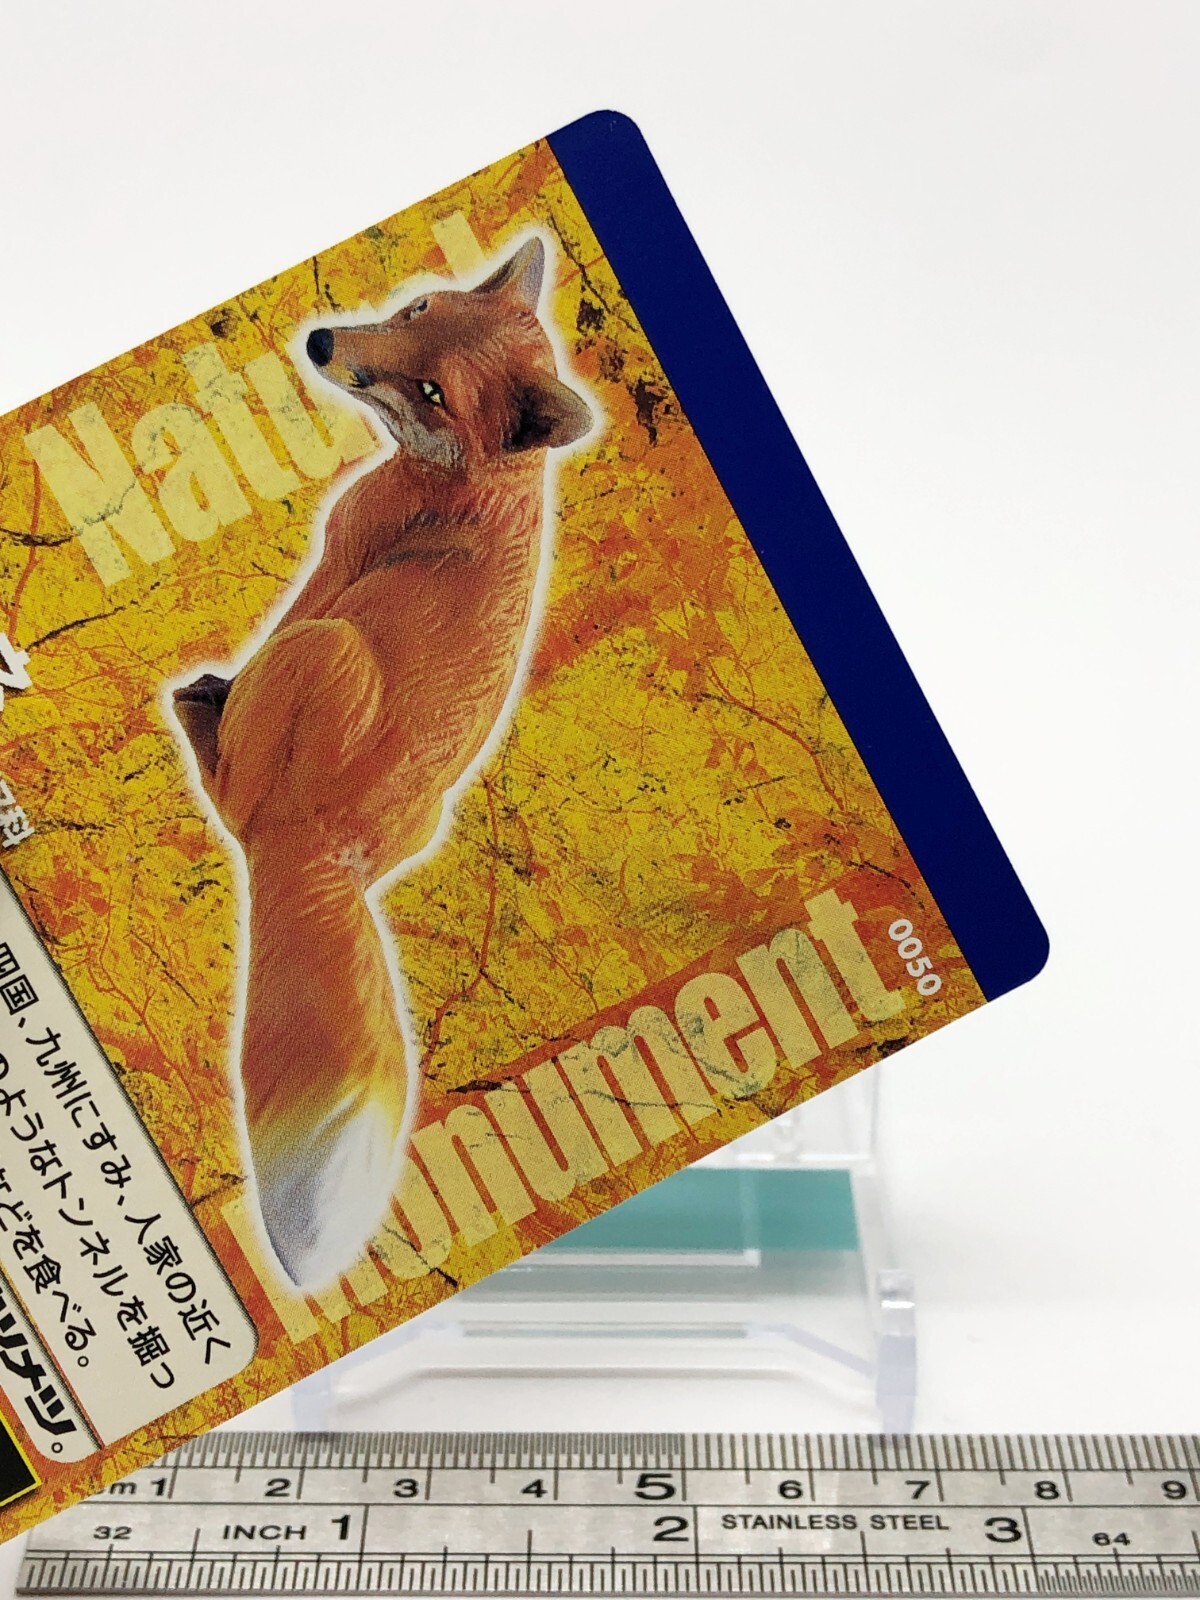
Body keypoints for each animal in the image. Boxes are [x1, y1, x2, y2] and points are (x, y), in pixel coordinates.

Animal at [171, 237, 593, 1288]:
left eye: (435, 392)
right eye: (414, 312)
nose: (322, 343)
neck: (475, 484)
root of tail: (329, 851)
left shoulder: (335, 563)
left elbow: (285, 618)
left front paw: (217, 694)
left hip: (326, 654)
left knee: (228, 792)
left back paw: (198, 720)